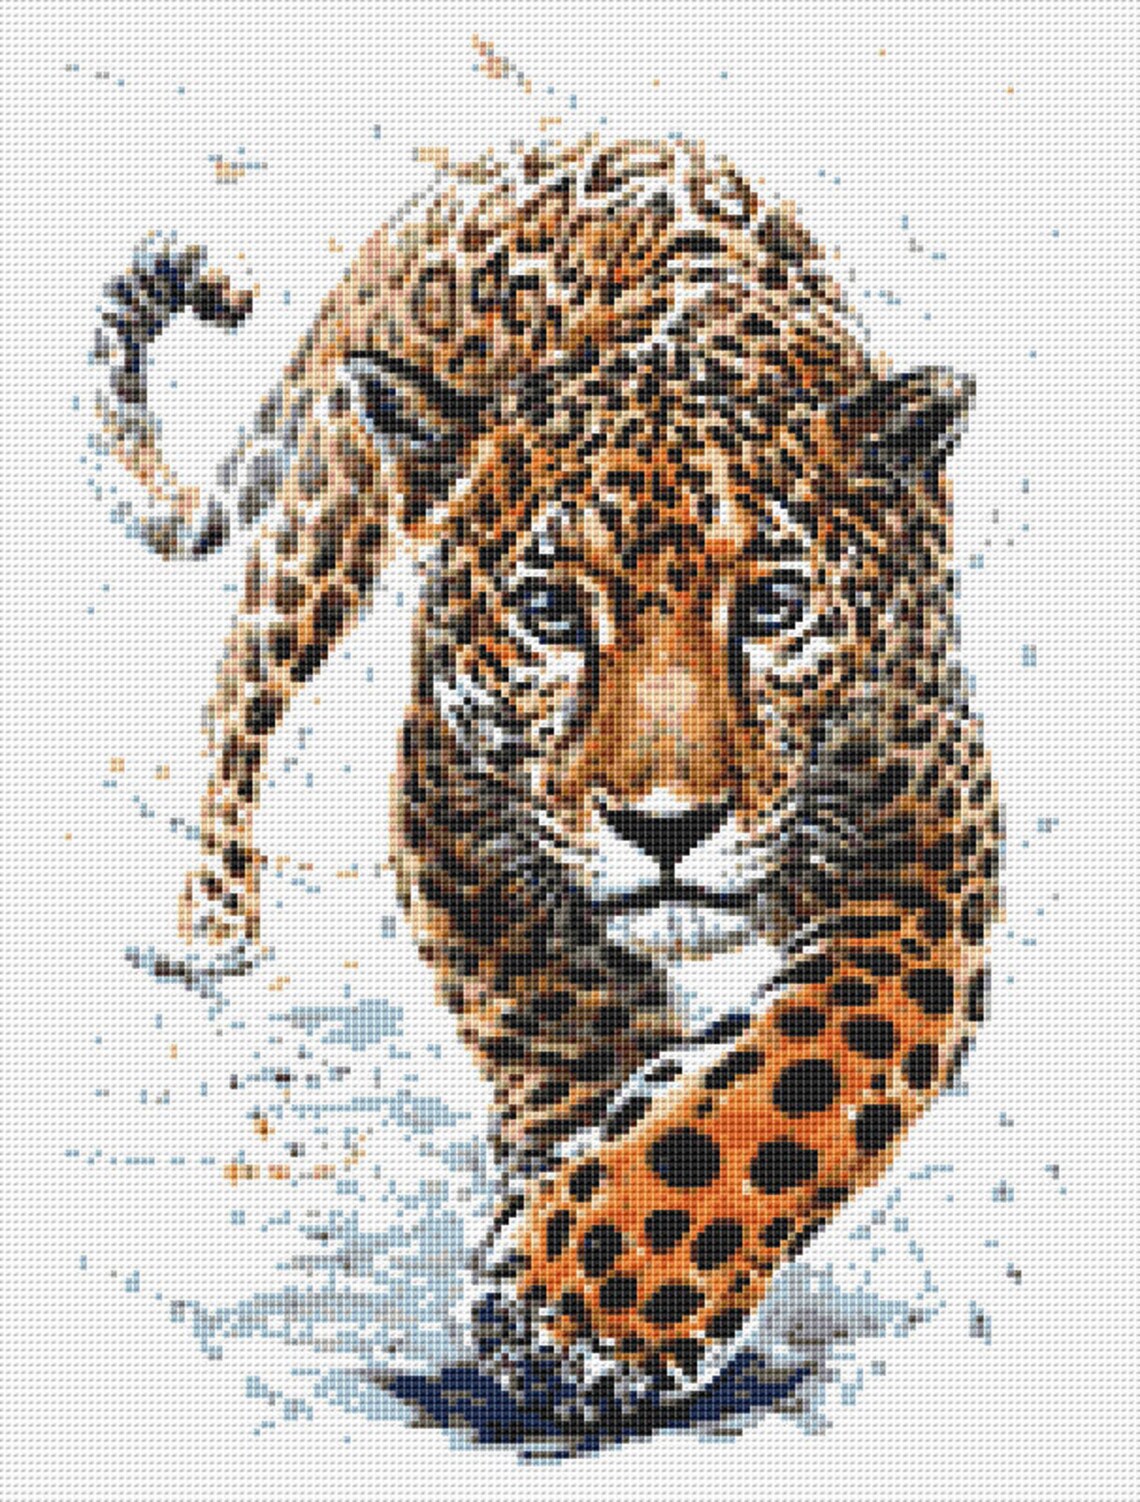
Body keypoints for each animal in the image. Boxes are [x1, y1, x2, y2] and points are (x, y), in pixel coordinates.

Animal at [92, 136, 1000, 1442]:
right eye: (551, 612)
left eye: (774, 604)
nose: (667, 826)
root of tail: (489, 160)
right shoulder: (456, 814)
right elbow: (573, 1022)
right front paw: (580, 1289)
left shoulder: (925, 873)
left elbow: (796, 1078)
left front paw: (590, 1298)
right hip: (324, 522)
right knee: (234, 699)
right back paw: (212, 921)